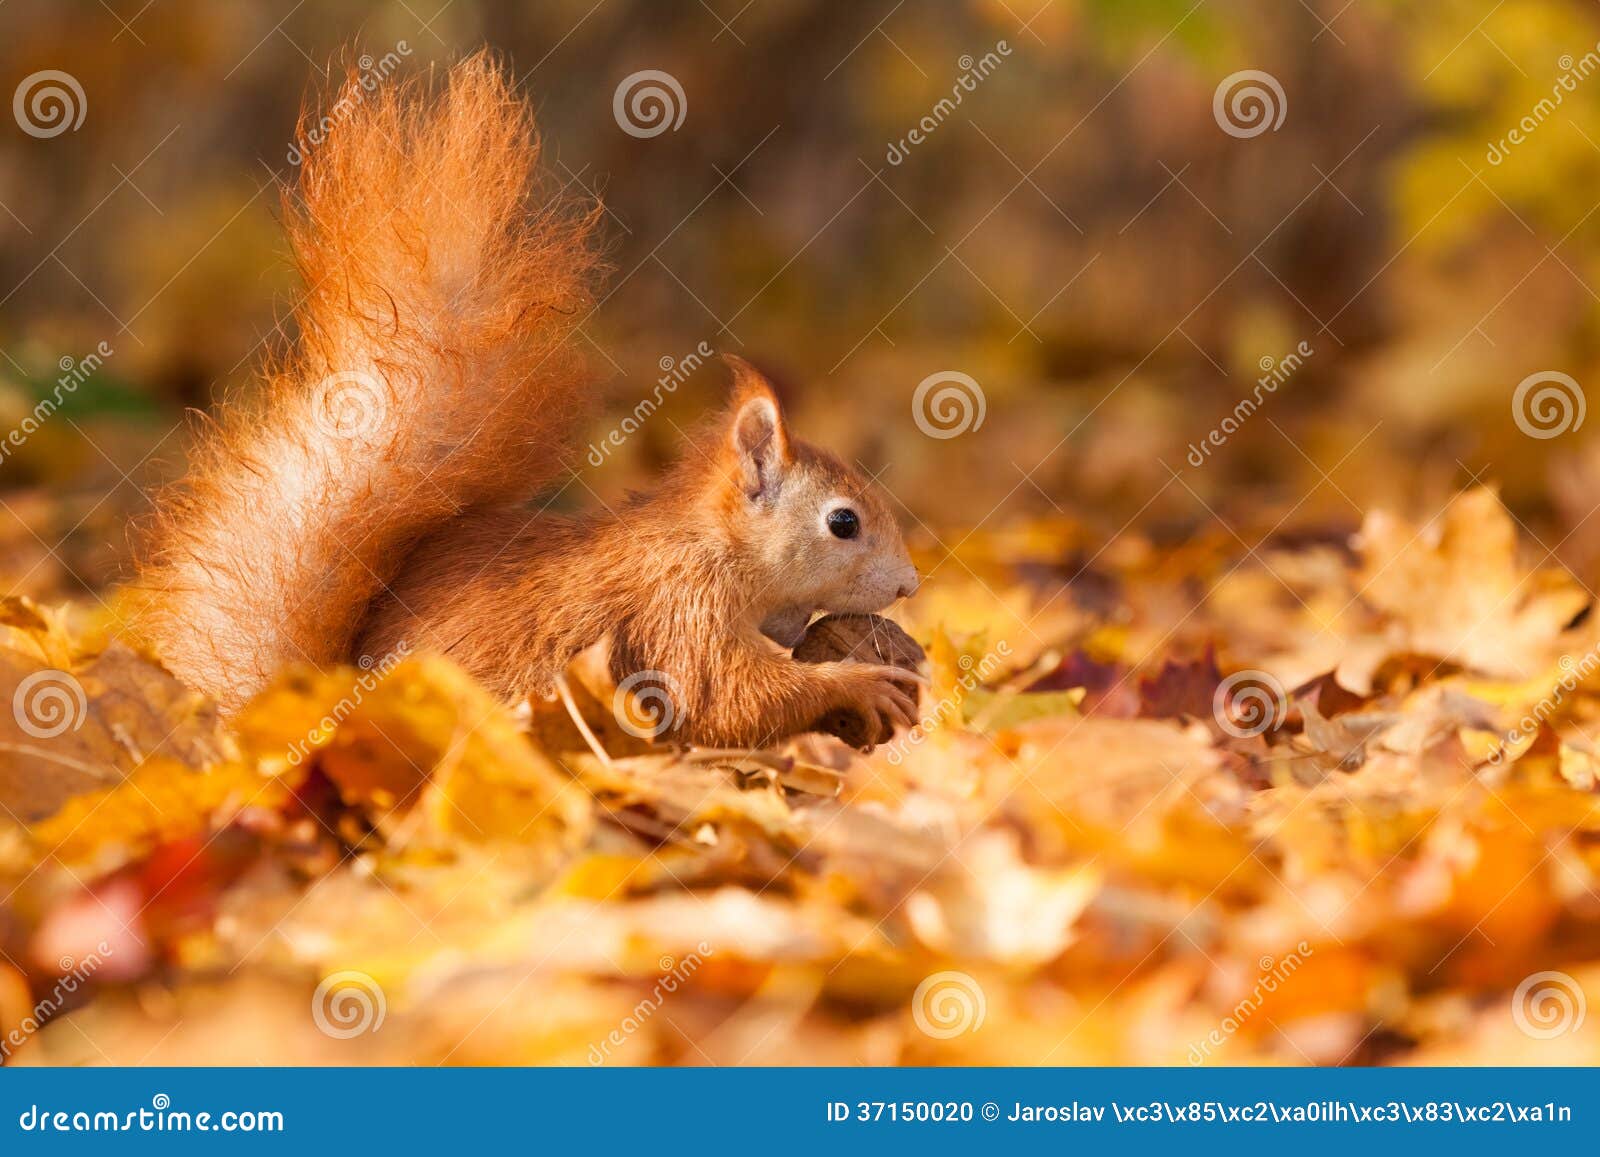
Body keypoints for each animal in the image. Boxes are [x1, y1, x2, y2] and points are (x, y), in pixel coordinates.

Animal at [132, 53, 921, 749]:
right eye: (843, 523)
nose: (911, 584)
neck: (708, 543)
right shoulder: (678, 606)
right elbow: (724, 694)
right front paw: (859, 682)